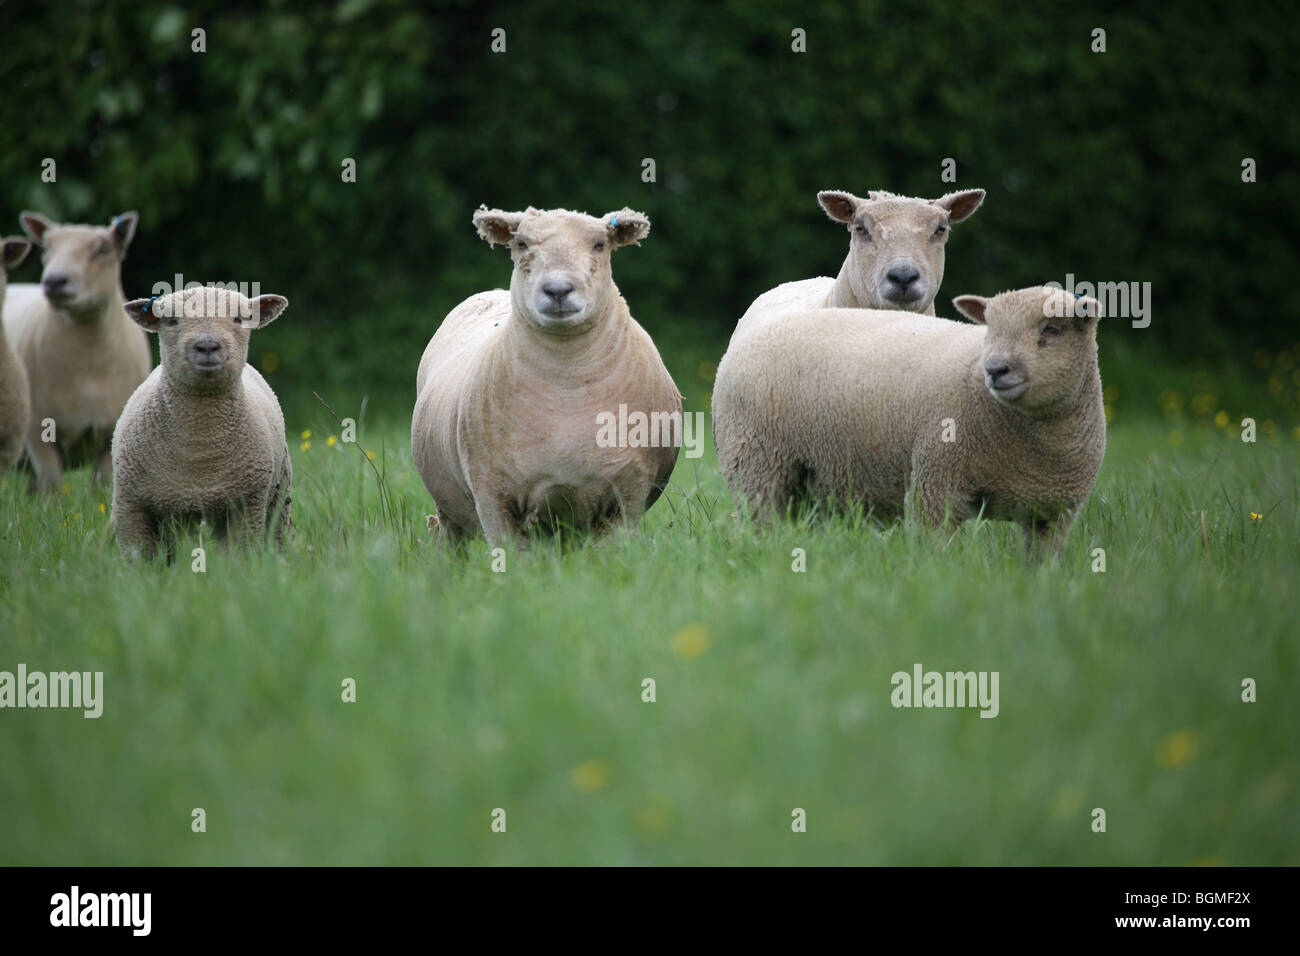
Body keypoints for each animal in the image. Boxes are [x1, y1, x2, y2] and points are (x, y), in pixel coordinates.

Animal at [2, 211, 152, 491]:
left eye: (103, 249)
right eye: (47, 249)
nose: (54, 281)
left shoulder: (110, 436)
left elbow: (101, 487)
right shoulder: (38, 433)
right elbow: (52, 487)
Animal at [110, 287, 292, 560]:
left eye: (240, 318)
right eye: (171, 320)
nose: (207, 346)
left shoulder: (247, 505)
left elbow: (237, 556)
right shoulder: (130, 506)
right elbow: (141, 559)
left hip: (279, 500)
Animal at [411, 205, 682, 547]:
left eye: (599, 244)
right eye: (521, 243)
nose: (558, 290)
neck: (566, 381)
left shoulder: (629, 494)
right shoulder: (491, 495)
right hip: (448, 508)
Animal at [712, 286, 1106, 558]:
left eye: (1053, 328)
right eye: (990, 328)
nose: (995, 369)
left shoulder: (1055, 514)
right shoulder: (937, 478)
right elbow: (935, 546)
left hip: (812, 477)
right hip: (757, 462)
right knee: (760, 521)